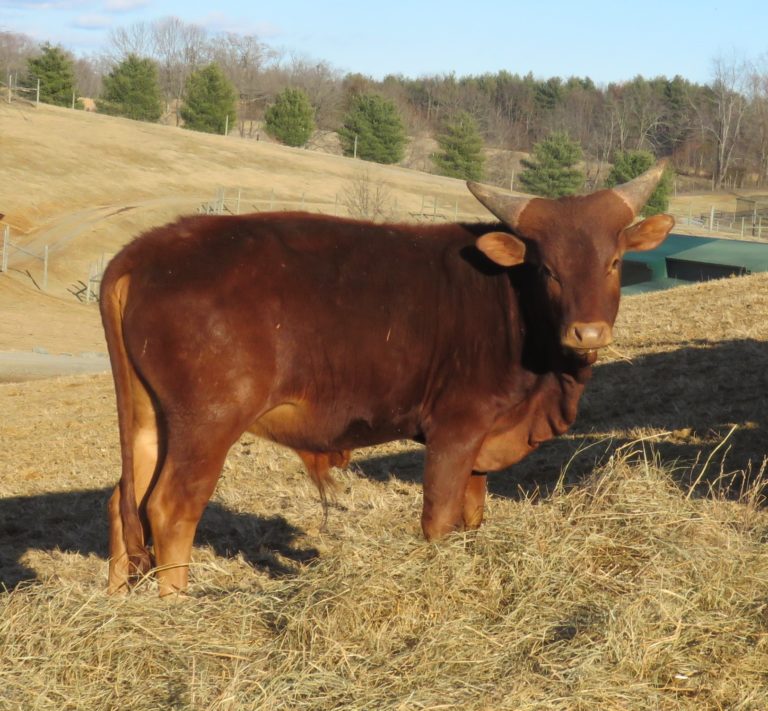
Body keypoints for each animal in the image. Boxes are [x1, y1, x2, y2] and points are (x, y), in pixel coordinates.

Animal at [100, 163, 673, 596]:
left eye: (614, 261)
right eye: (547, 268)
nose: (588, 332)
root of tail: (147, 248)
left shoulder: (483, 442)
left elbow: (472, 514)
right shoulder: (456, 428)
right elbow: (439, 519)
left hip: (149, 419)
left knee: (123, 501)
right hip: (207, 423)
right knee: (171, 507)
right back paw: (176, 607)